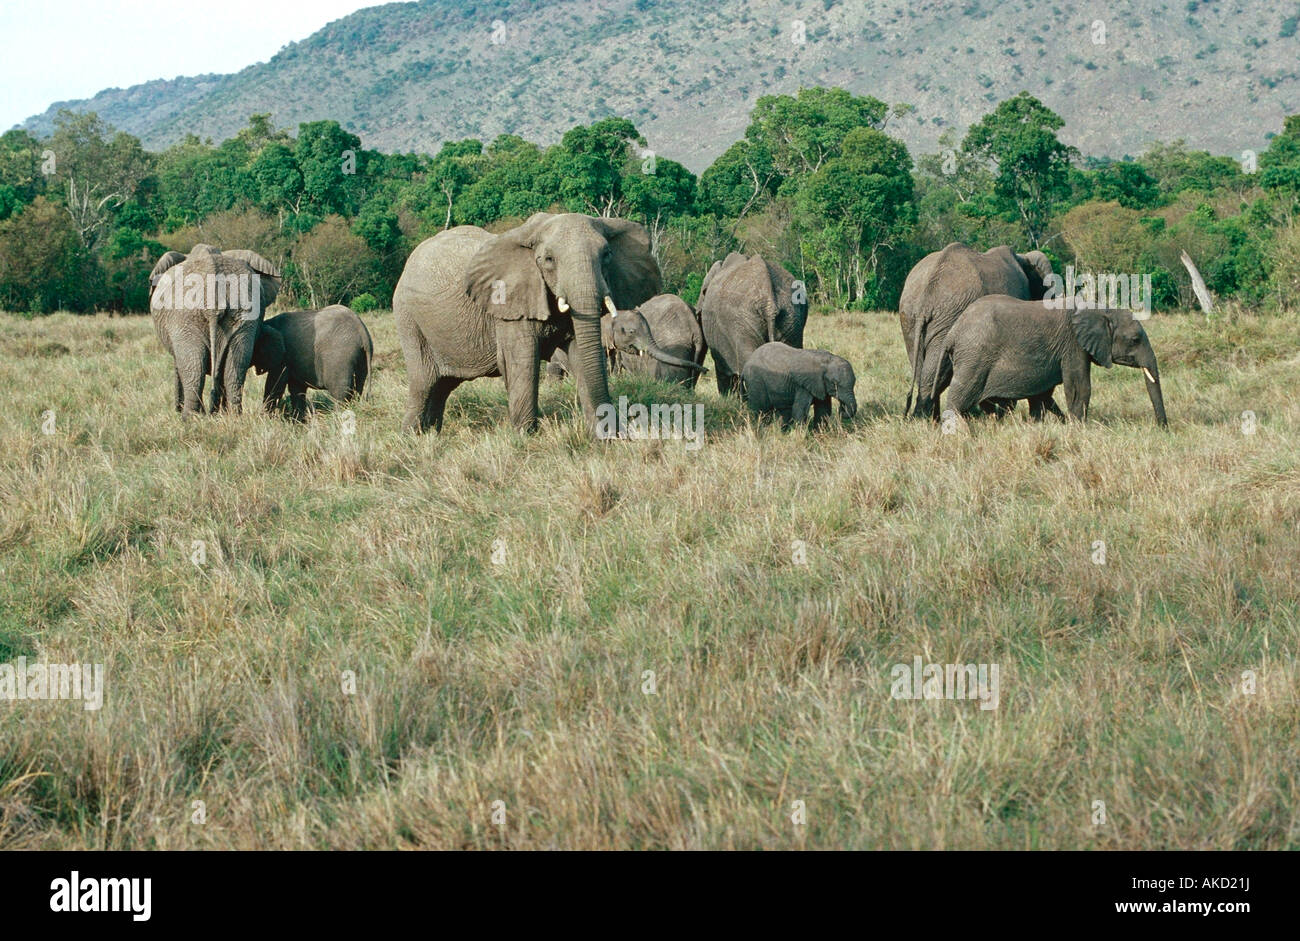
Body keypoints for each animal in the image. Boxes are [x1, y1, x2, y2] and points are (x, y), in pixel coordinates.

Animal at [149, 244, 280, 415]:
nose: (176, 408)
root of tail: (214, 301)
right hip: (243, 316)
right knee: (233, 371)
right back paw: (233, 416)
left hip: (183, 320)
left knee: (194, 370)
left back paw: (191, 418)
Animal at [393, 212, 661, 434]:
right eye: (549, 259)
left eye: (607, 255)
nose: (617, 429)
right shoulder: (509, 306)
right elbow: (523, 362)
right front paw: (526, 438)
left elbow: (581, 355)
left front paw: (602, 436)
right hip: (408, 318)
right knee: (424, 383)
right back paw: (412, 438)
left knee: (442, 386)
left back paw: (431, 435)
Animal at [899, 242, 1054, 420]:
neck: (1023, 258)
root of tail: (926, 297)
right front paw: (1001, 416)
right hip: (948, 317)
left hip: (911, 318)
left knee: (921, 369)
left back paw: (926, 420)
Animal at [929, 295, 1168, 426]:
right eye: (1135, 340)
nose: (1163, 428)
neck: (1100, 308)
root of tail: (952, 333)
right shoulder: (1073, 344)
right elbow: (1080, 387)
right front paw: (1078, 428)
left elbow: (1043, 395)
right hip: (974, 357)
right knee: (960, 397)